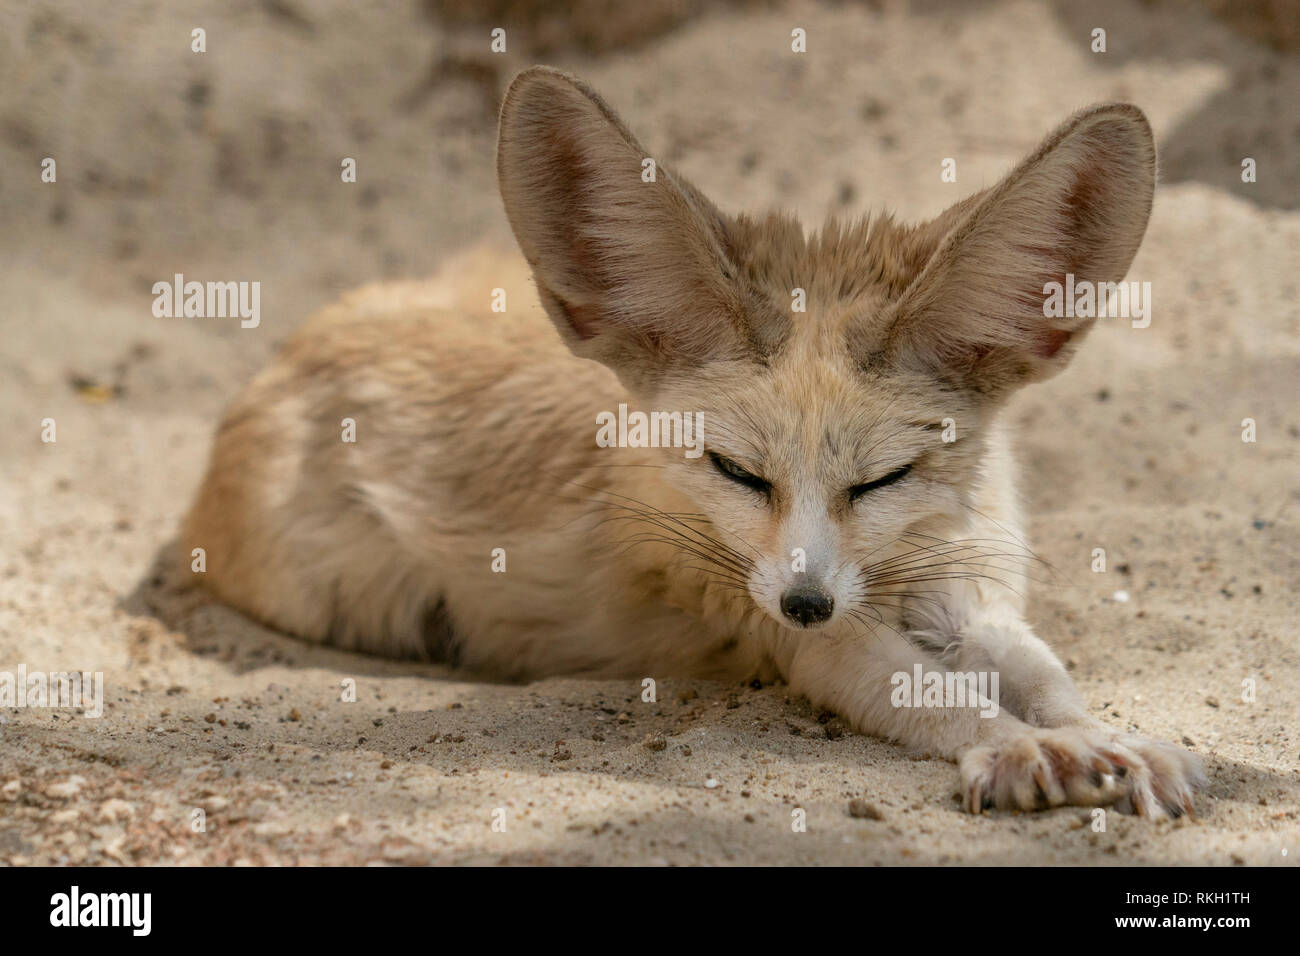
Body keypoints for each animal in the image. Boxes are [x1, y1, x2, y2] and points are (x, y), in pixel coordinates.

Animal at [183, 66, 1204, 817]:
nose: (804, 600)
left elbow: (1047, 673)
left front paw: (1102, 736)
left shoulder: (967, 594)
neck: (903, 569)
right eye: (736, 473)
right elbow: (942, 697)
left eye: (885, 479)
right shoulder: (799, 635)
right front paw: (1024, 745)